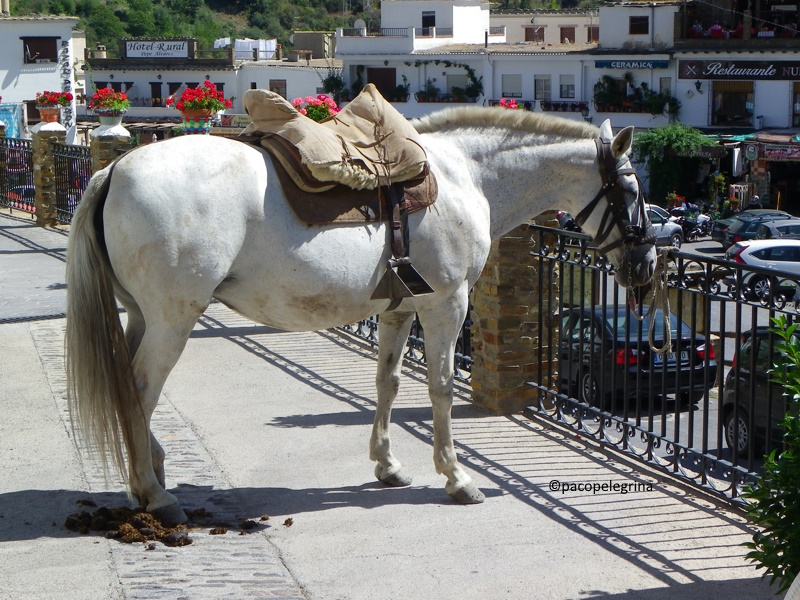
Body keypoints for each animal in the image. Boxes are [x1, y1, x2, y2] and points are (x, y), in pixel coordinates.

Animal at [65, 108, 656, 525]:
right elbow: (441, 387)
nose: (648, 265)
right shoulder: (447, 304)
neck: (467, 177)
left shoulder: (399, 310)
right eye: (631, 190)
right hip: (172, 320)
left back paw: (153, 473)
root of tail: (114, 169)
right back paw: (154, 492)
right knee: (140, 390)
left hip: (142, 315)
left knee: (127, 388)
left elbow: (388, 383)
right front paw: (456, 475)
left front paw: (387, 464)